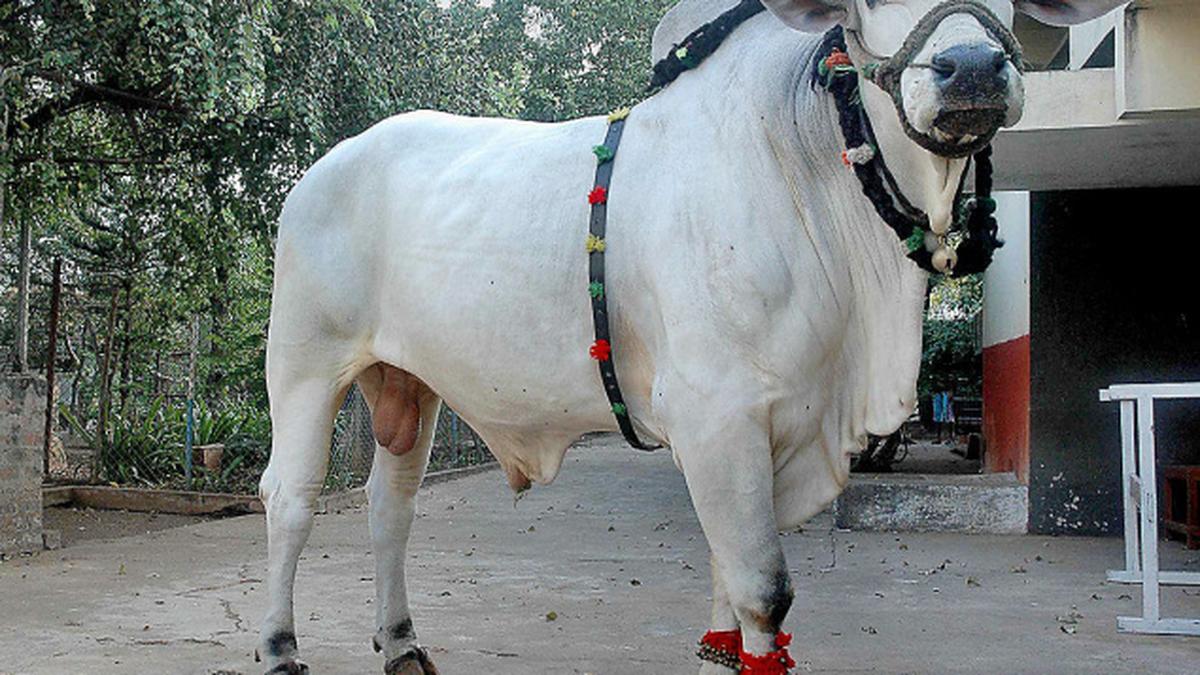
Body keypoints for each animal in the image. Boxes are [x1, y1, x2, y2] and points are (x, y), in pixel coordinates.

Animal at [256, 1, 1127, 673]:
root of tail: (320, 170)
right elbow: (764, 590)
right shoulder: (719, 416)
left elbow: (730, 587)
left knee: (389, 504)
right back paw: (278, 647)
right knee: (290, 497)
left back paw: (401, 640)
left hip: (410, 383)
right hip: (303, 361)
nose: (971, 67)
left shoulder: (763, 429)